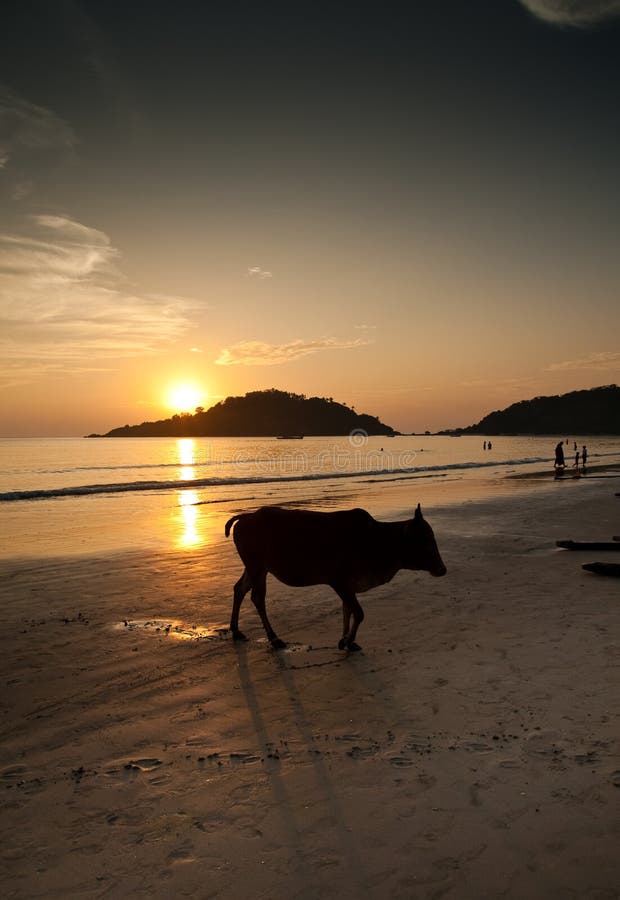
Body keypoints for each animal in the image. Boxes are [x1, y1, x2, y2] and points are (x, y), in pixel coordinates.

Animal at [224, 504, 446, 651]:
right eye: (425, 541)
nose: (442, 569)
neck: (377, 540)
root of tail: (246, 517)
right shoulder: (339, 582)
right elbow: (358, 613)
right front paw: (348, 641)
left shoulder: (348, 586)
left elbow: (347, 611)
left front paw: (346, 639)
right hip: (257, 568)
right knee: (257, 598)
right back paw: (274, 638)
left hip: (256, 569)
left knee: (239, 589)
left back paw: (236, 631)